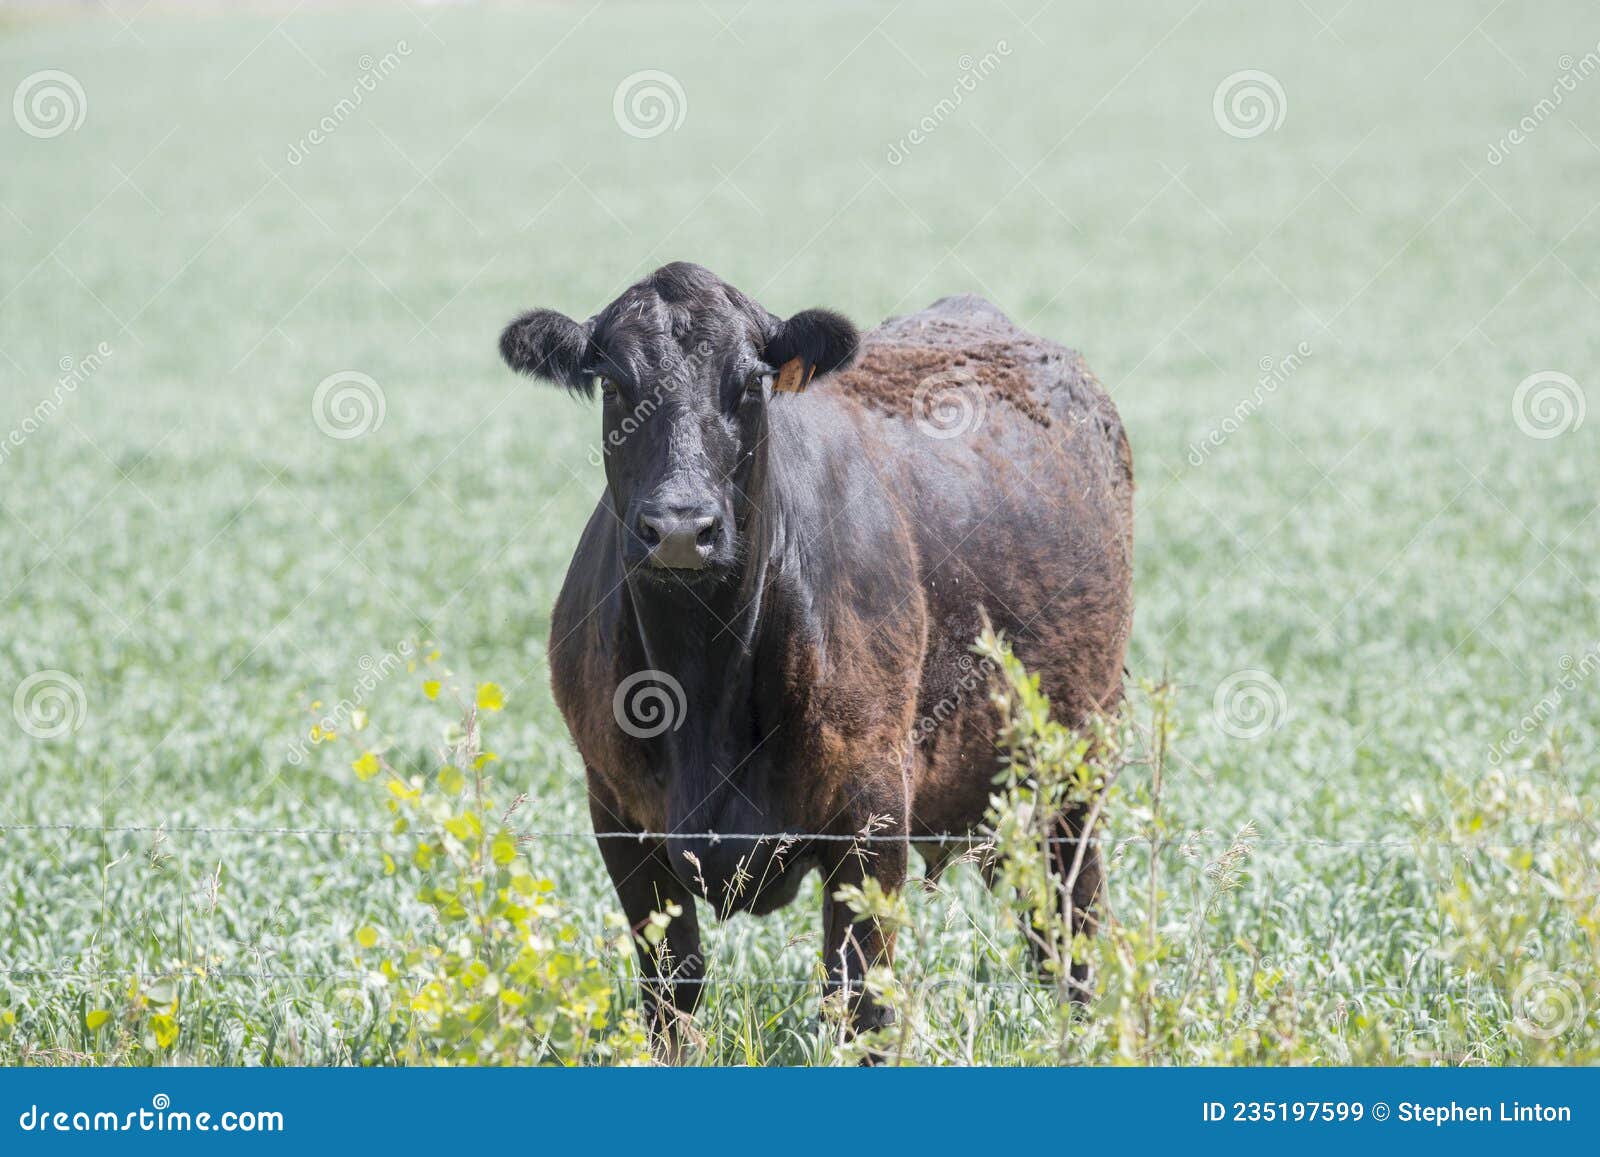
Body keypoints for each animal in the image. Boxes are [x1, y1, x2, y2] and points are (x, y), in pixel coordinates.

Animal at [499, 262, 1133, 1055]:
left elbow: (858, 1004)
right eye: (614, 383)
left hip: (1074, 764)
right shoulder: (618, 816)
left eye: (749, 383)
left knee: (1073, 920)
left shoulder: (872, 819)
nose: (679, 527)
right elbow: (672, 992)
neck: (703, 678)